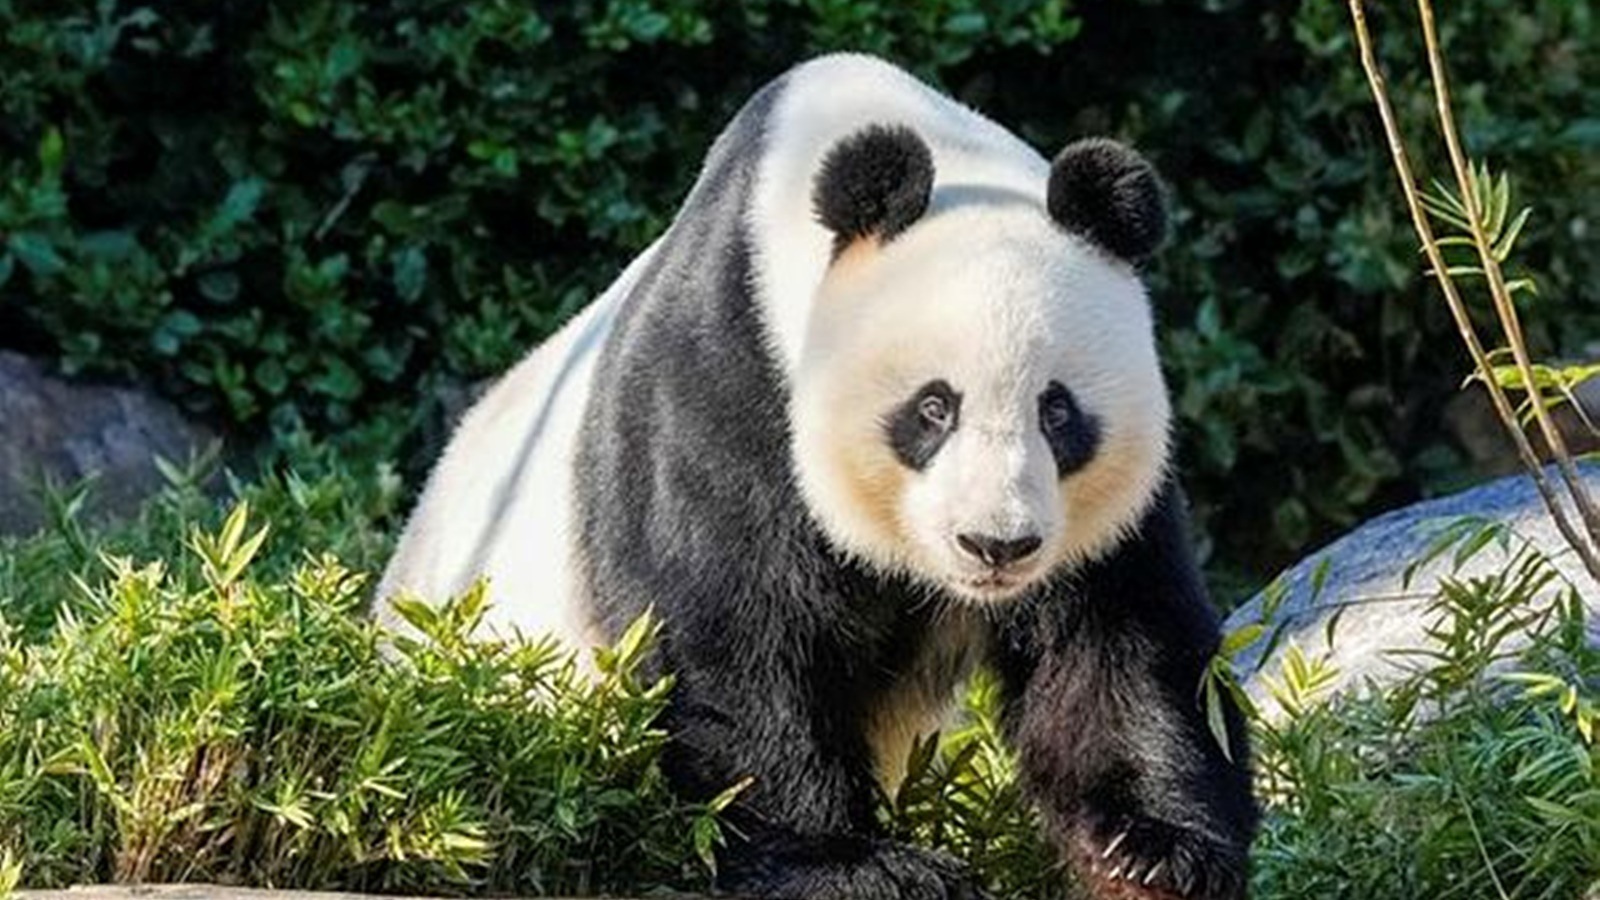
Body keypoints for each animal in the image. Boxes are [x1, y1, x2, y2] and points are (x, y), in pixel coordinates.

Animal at [378, 54, 1257, 900]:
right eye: (933, 408)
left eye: (1059, 412)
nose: (996, 546)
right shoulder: (727, 376)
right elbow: (731, 637)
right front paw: (856, 865)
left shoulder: (1103, 513)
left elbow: (1118, 641)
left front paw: (1152, 849)